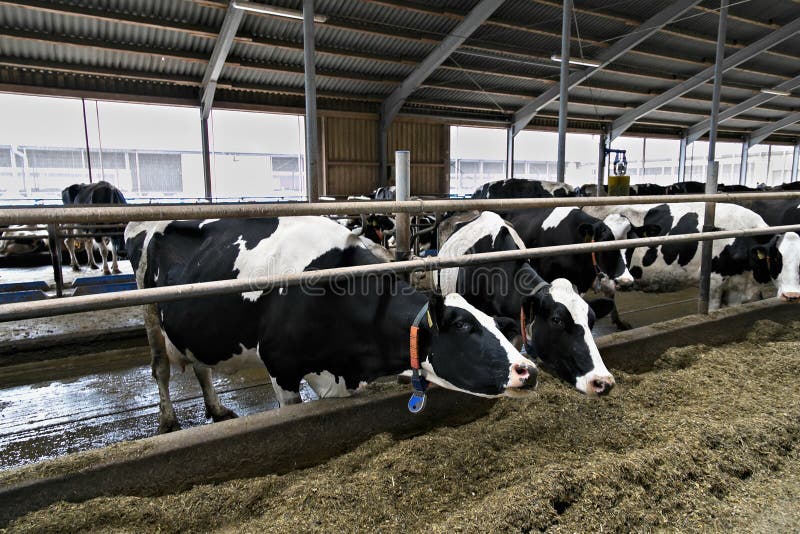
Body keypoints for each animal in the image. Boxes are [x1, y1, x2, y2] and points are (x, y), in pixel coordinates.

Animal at [125, 216, 538, 433]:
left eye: (498, 327)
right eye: (463, 326)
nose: (528, 370)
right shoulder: (282, 367)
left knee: (200, 365)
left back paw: (216, 409)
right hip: (148, 312)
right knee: (161, 369)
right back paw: (168, 419)